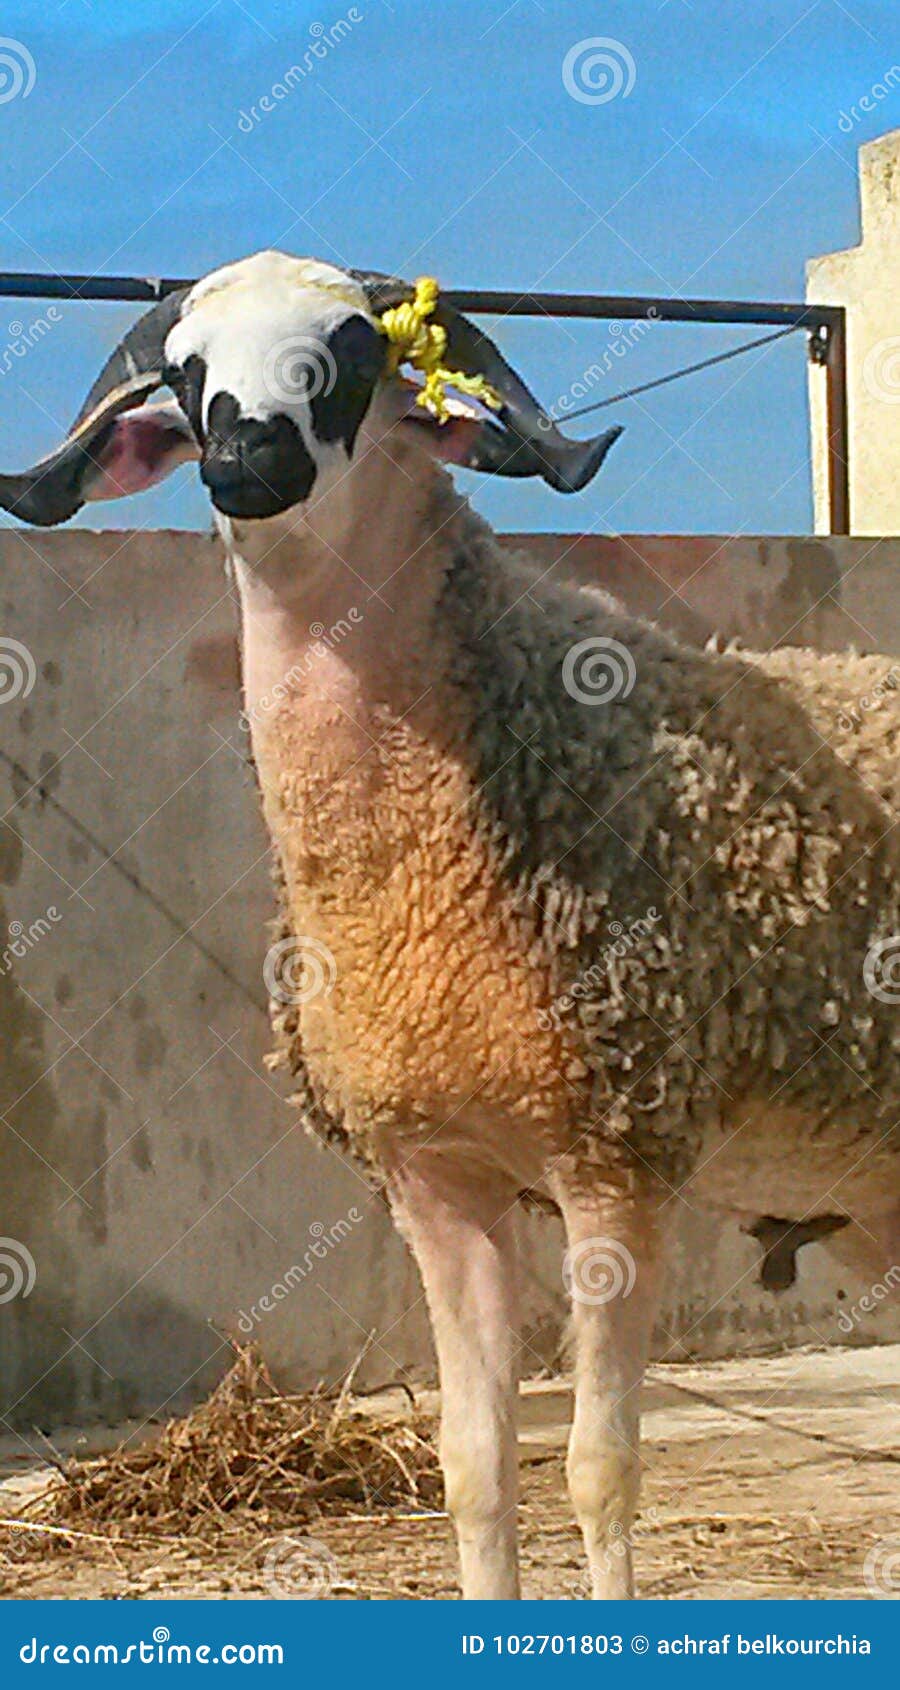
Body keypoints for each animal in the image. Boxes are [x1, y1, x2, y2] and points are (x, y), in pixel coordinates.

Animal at [1, 250, 898, 1601]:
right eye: (190, 374)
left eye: (350, 354)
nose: (245, 462)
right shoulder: (435, 1173)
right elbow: (476, 1469)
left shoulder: (614, 1157)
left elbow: (598, 1473)